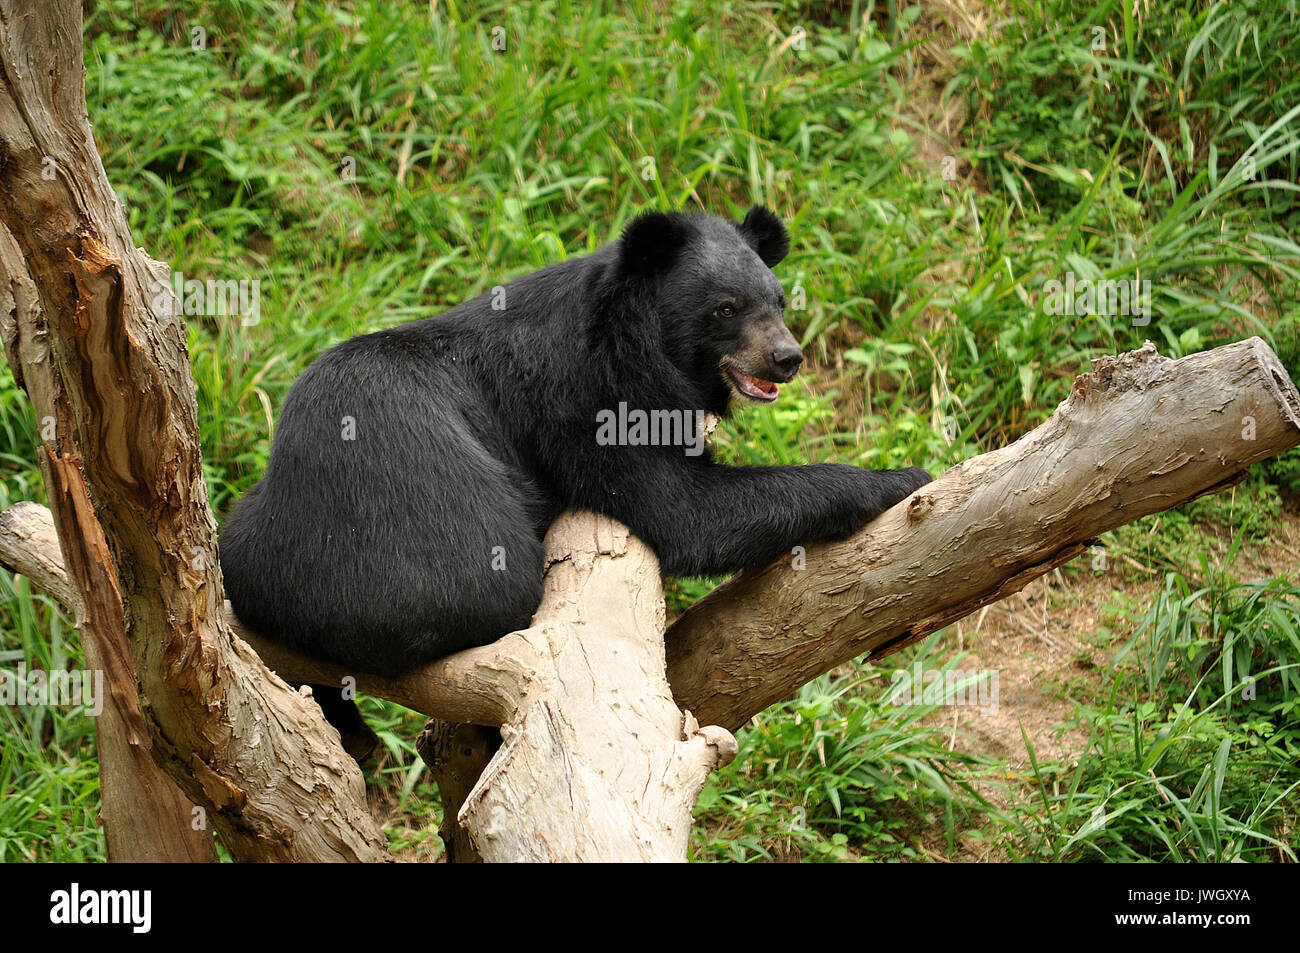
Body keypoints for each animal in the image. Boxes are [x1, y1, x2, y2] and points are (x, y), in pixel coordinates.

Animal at [219, 206, 932, 691]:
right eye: (727, 309)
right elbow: (684, 509)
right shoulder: (585, 396)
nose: (787, 358)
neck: (642, 344)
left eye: (780, 302)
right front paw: (901, 478)